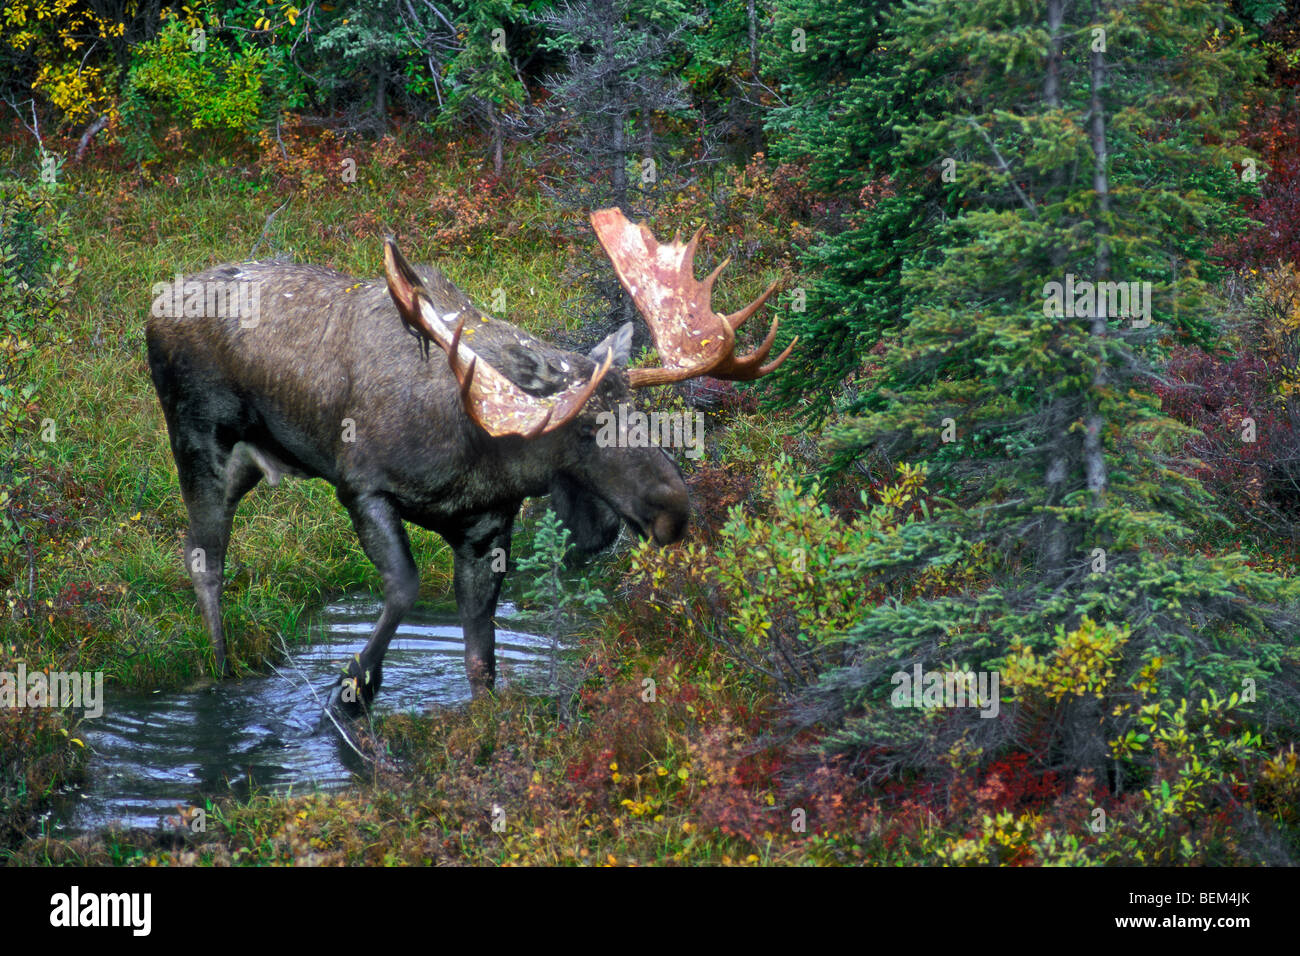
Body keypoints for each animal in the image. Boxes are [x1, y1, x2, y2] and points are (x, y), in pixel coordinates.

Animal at [145, 209, 793, 711]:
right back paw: (221, 674)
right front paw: (353, 688)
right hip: (197, 440)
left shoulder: (486, 528)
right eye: (586, 428)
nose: (673, 510)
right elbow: (404, 587)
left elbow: (482, 662)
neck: (476, 446)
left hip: (248, 463)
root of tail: (154, 307)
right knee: (206, 558)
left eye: (636, 408)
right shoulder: (362, 486)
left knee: (194, 546)